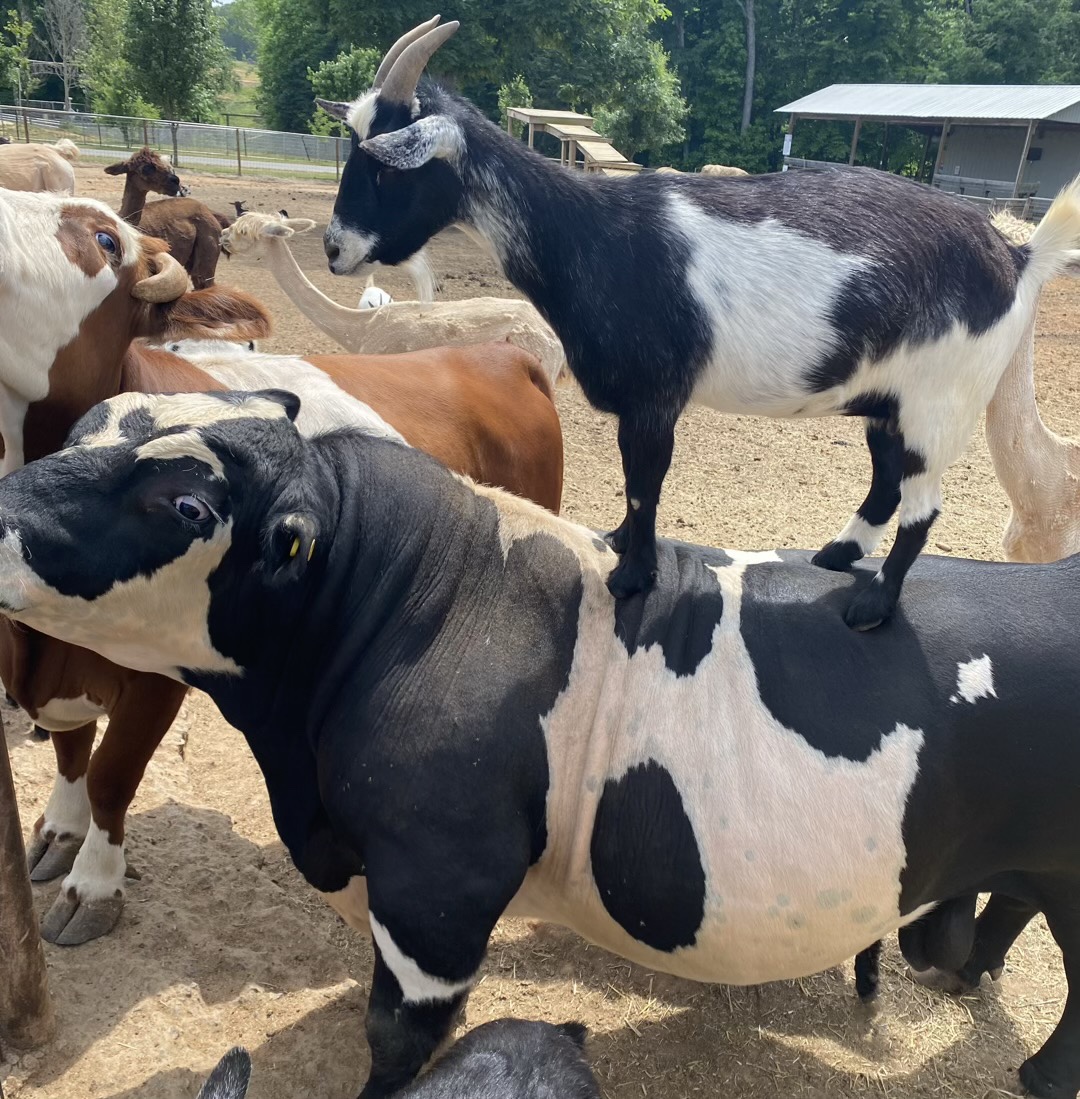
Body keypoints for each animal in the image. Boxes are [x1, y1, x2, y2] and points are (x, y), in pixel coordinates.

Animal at [318, 15, 1080, 628]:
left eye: (386, 166)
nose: (333, 248)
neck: (593, 236)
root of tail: (1017, 255)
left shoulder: (654, 397)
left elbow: (644, 482)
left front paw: (631, 578)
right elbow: (635, 488)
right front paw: (620, 546)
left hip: (942, 398)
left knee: (923, 502)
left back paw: (873, 604)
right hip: (890, 396)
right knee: (888, 479)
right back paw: (836, 555)